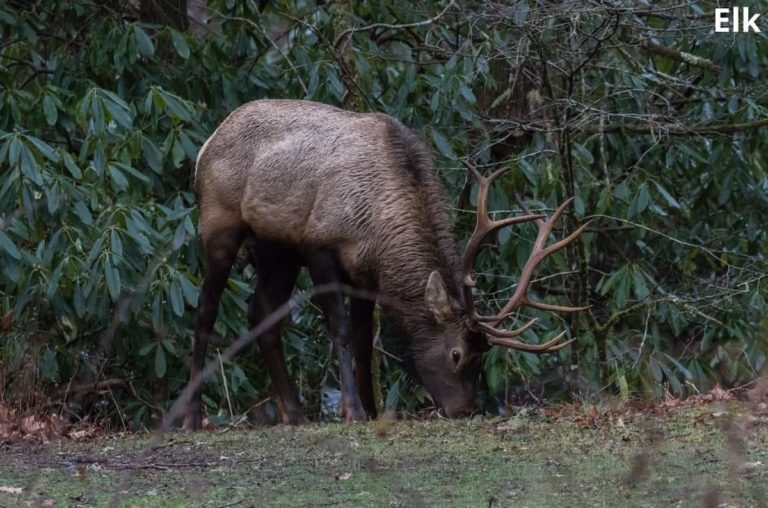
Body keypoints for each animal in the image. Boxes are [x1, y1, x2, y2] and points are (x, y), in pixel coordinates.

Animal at [185, 99, 588, 430]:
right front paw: (352, 411)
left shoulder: (365, 272)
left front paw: (371, 408)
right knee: (206, 308)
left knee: (262, 312)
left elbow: (365, 340)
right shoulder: (319, 243)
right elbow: (341, 329)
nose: (464, 409)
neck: (376, 224)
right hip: (220, 221)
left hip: (275, 248)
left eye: (483, 355)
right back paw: (190, 417)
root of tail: (206, 145)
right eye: (456, 354)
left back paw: (295, 414)